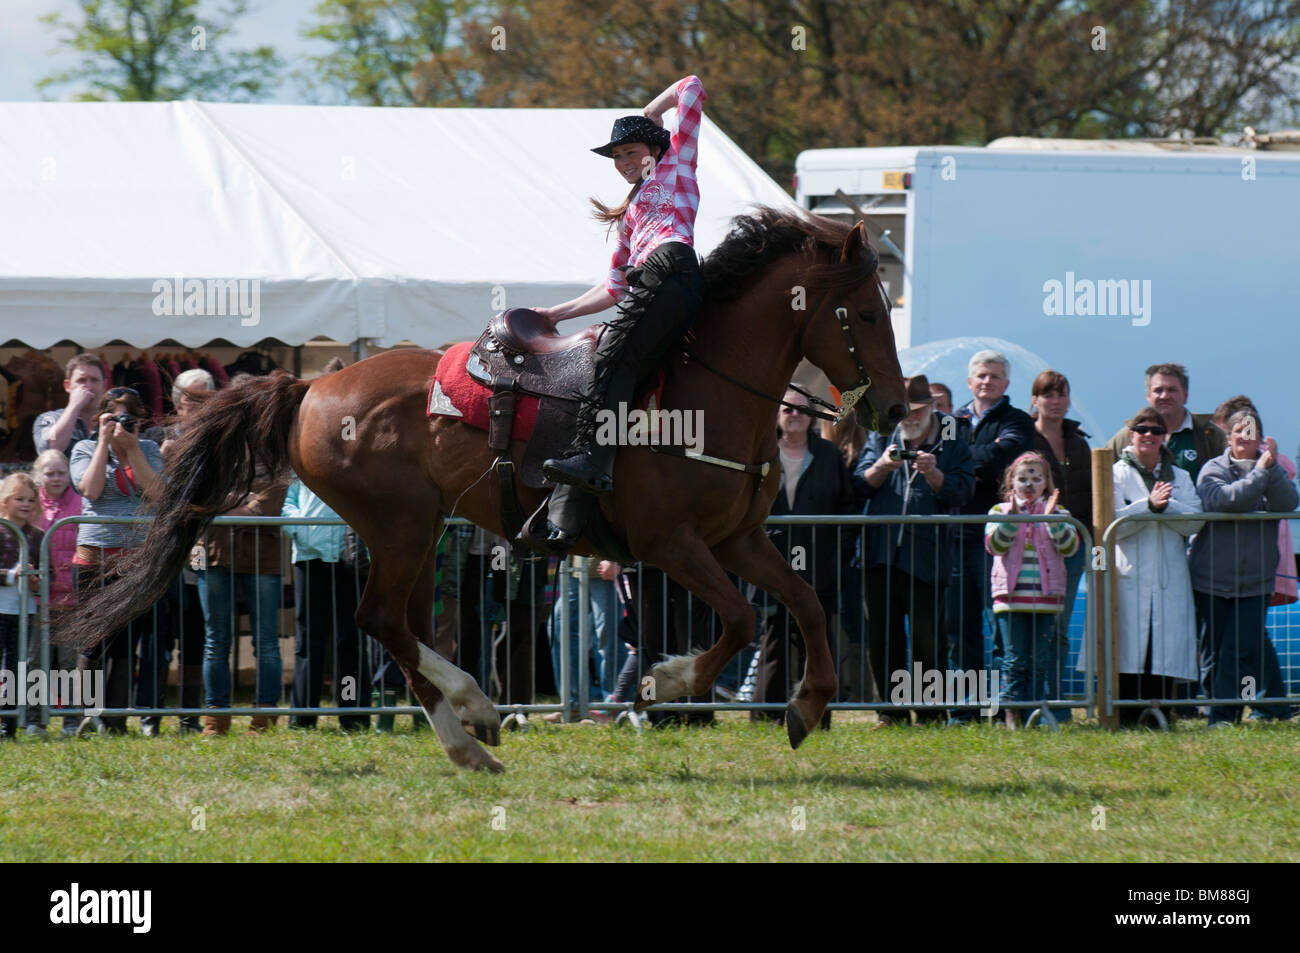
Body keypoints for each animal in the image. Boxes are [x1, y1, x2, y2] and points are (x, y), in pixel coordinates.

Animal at [60, 207, 907, 773]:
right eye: (867, 311)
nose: (897, 409)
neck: (703, 390)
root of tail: (312, 386)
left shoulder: (739, 536)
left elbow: (805, 602)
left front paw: (807, 704)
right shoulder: (671, 543)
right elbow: (738, 620)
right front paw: (664, 682)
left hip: (418, 530)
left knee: (400, 626)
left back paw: (470, 728)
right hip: (402, 525)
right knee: (381, 620)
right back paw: (473, 719)